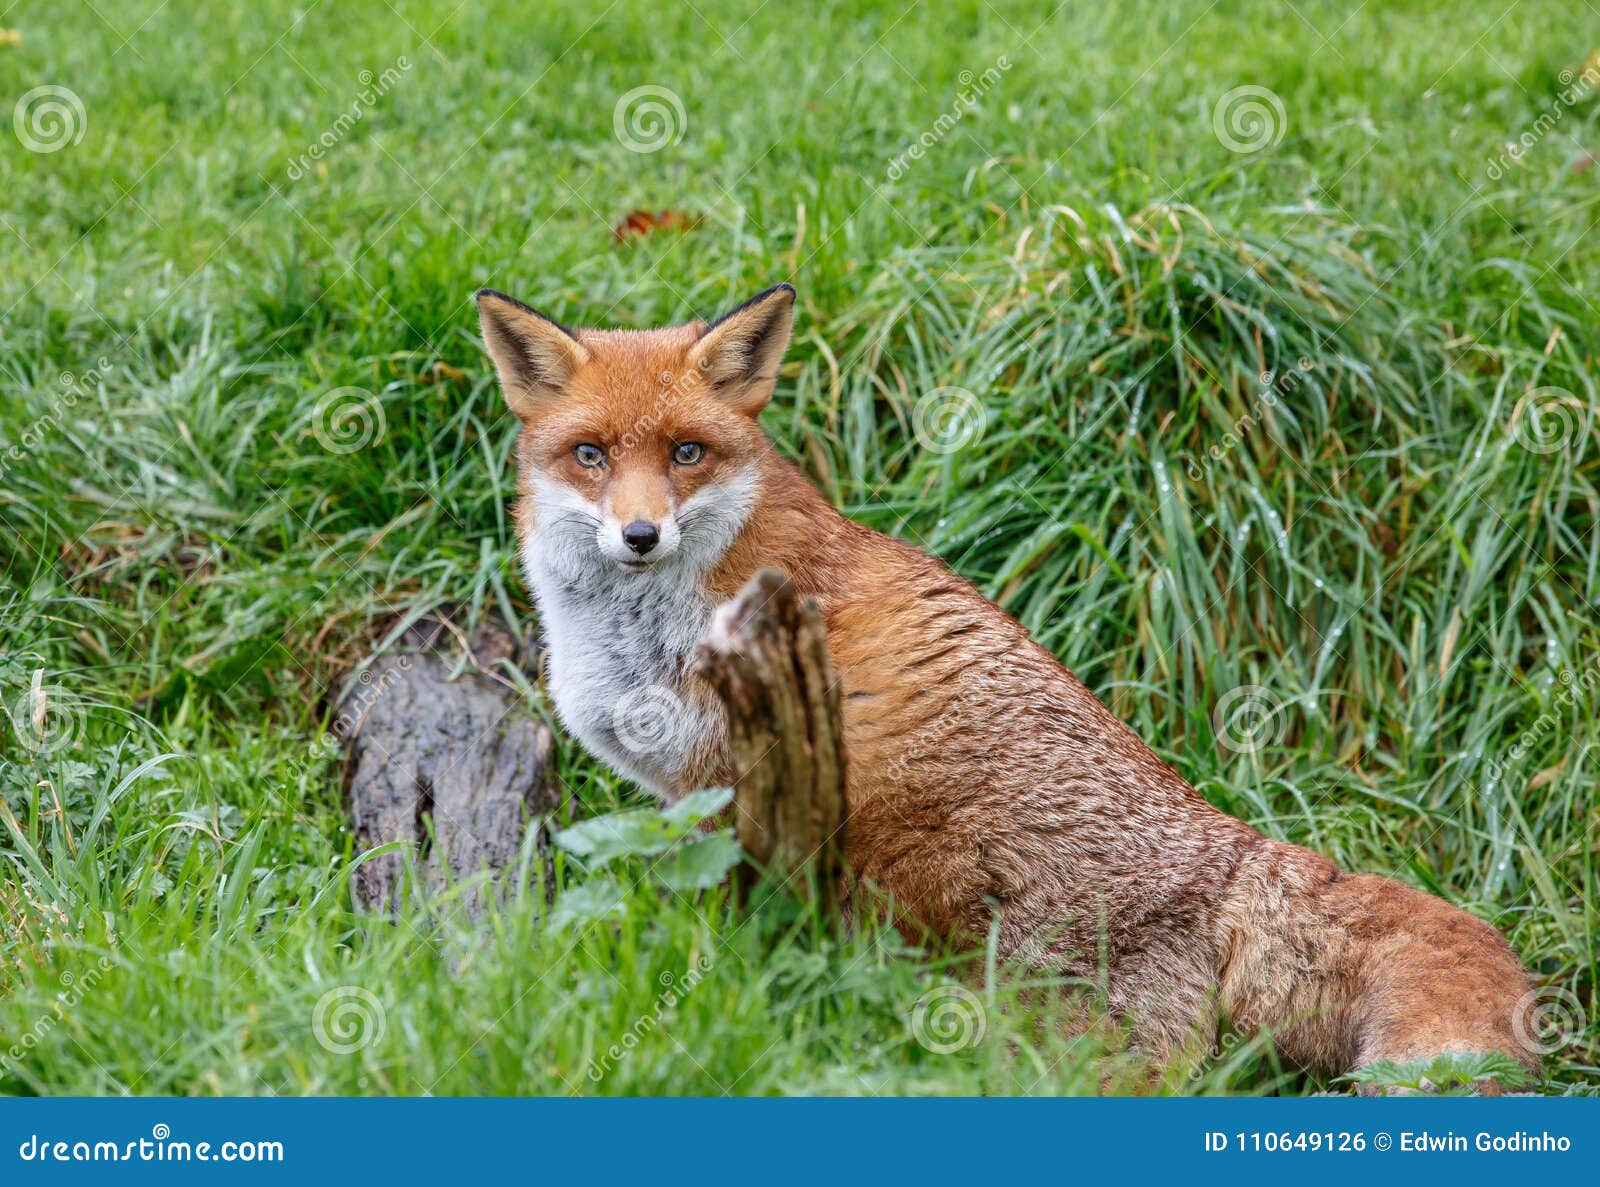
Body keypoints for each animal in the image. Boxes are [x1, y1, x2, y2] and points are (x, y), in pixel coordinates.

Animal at [476, 281, 1541, 1085]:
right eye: (591, 454)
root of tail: (1239, 854)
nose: (640, 534)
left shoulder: (735, 786)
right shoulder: (683, 795)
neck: (640, 630)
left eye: (687, 453)